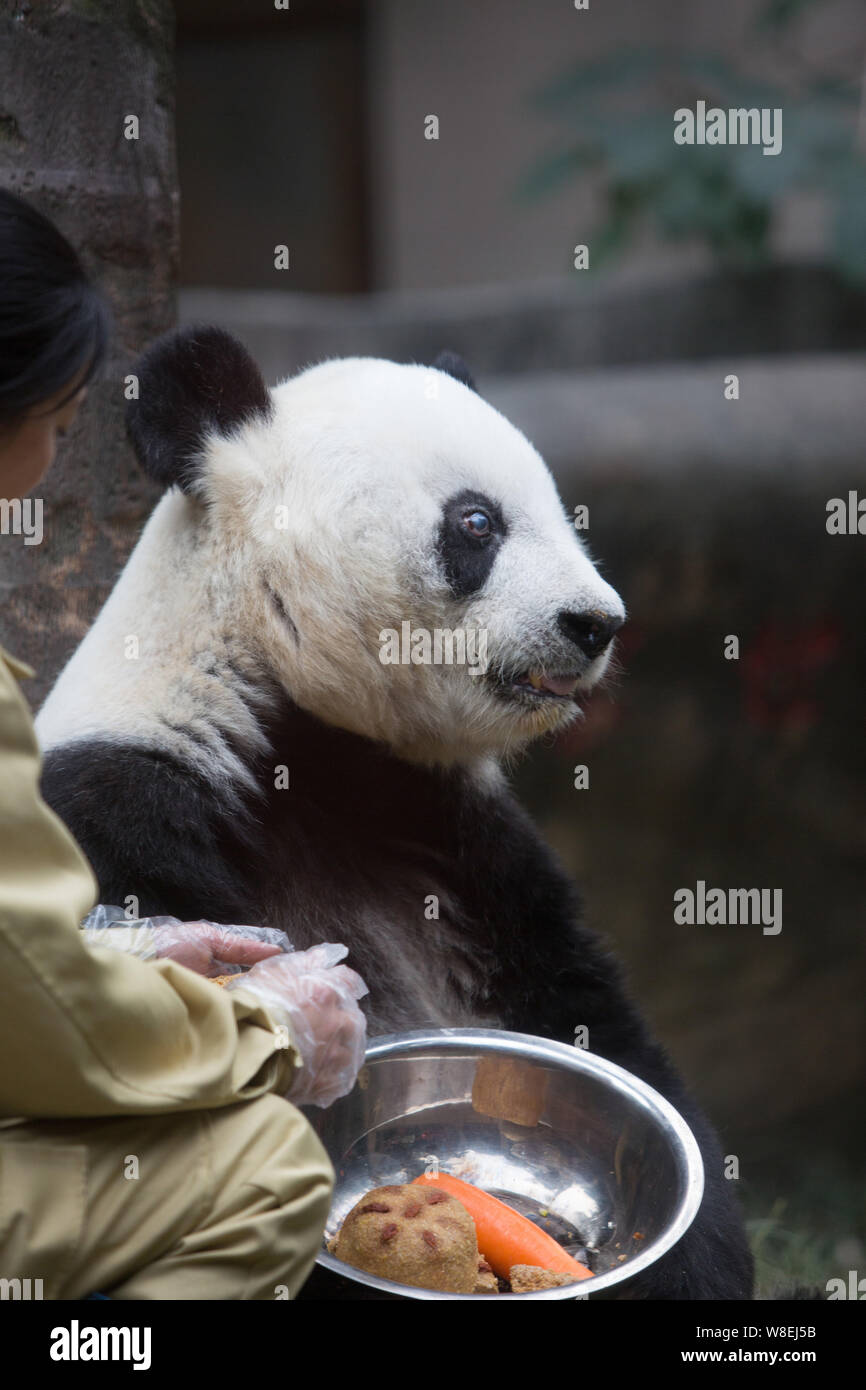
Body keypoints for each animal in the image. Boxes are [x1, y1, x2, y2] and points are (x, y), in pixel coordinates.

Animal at [36, 326, 753, 1300]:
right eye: (478, 523)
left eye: (561, 512)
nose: (595, 623)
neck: (302, 731)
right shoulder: (121, 798)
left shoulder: (460, 838)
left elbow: (597, 1023)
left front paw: (686, 1257)